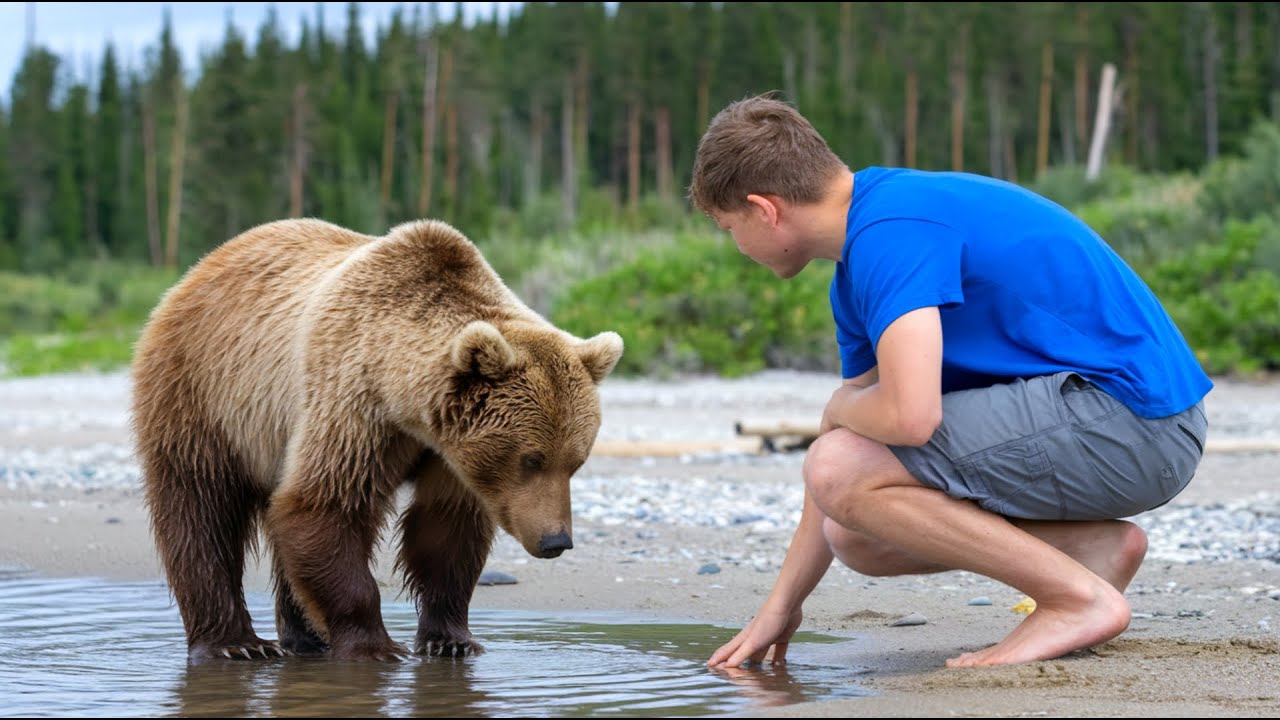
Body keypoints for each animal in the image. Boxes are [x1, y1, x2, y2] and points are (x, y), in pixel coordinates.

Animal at [130, 217, 624, 663]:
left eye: (576, 462)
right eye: (531, 459)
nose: (556, 540)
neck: (407, 403)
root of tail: (201, 267)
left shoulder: (450, 453)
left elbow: (445, 532)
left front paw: (450, 639)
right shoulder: (356, 408)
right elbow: (323, 506)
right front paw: (376, 646)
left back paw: (303, 637)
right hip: (205, 396)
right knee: (200, 511)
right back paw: (236, 643)